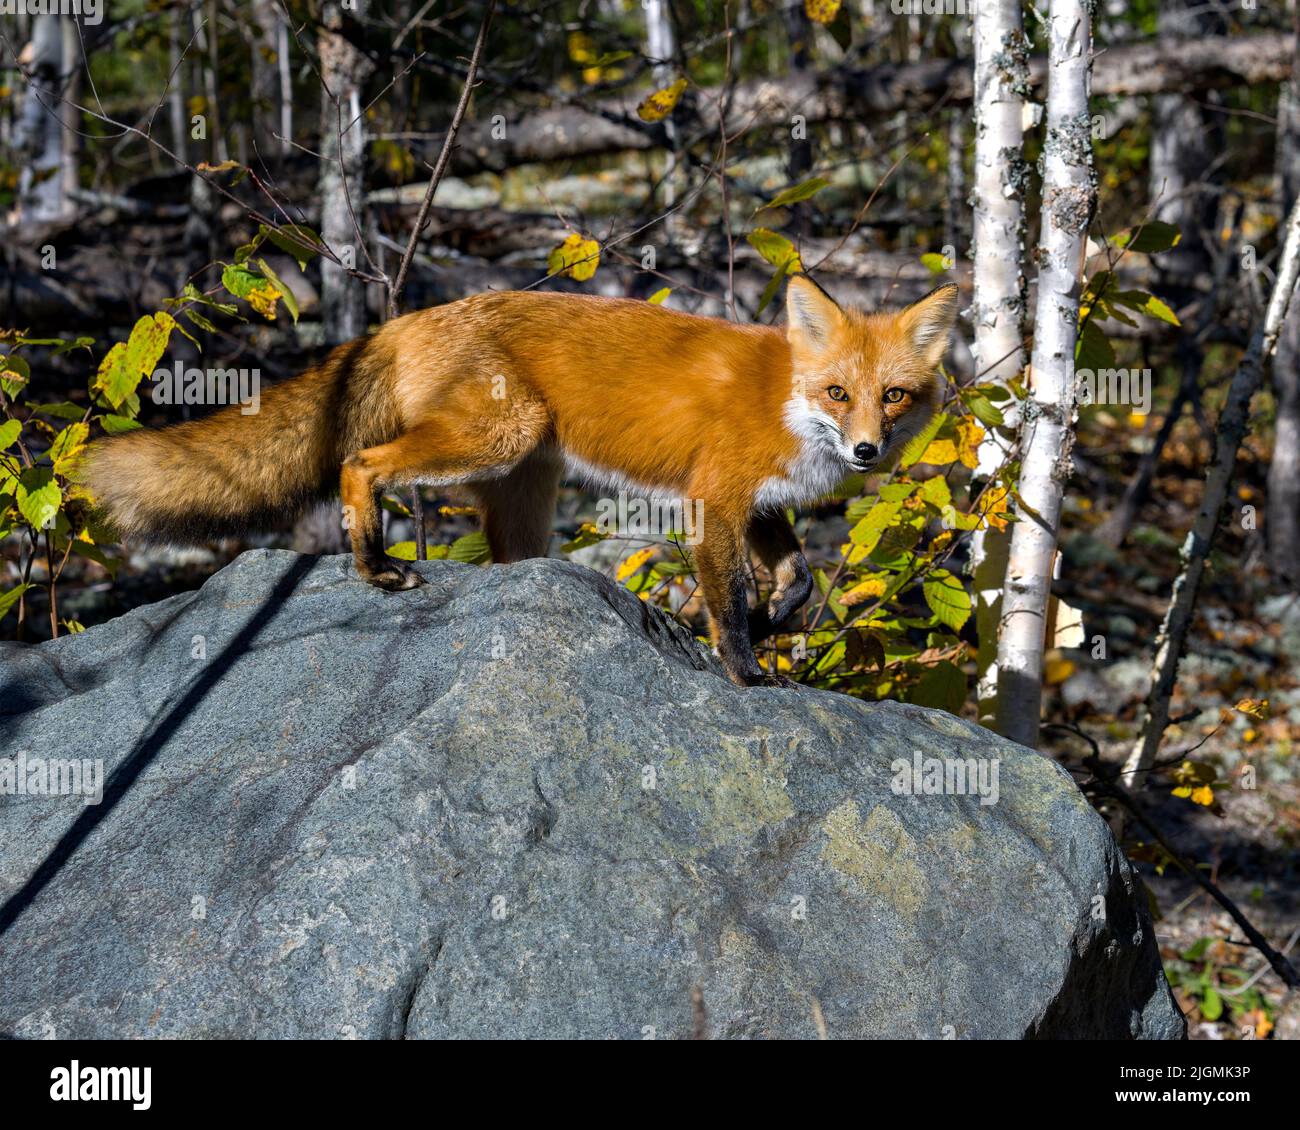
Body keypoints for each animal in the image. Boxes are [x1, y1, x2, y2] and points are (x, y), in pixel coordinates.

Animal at [85, 276, 958, 688]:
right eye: (838, 393)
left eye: (893, 396)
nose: (867, 452)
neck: (784, 399)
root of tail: (403, 319)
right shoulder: (717, 496)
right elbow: (729, 603)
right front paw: (746, 670)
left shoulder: (760, 501)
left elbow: (799, 579)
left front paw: (776, 619)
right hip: (497, 436)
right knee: (357, 464)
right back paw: (374, 566)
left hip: (523, 491)